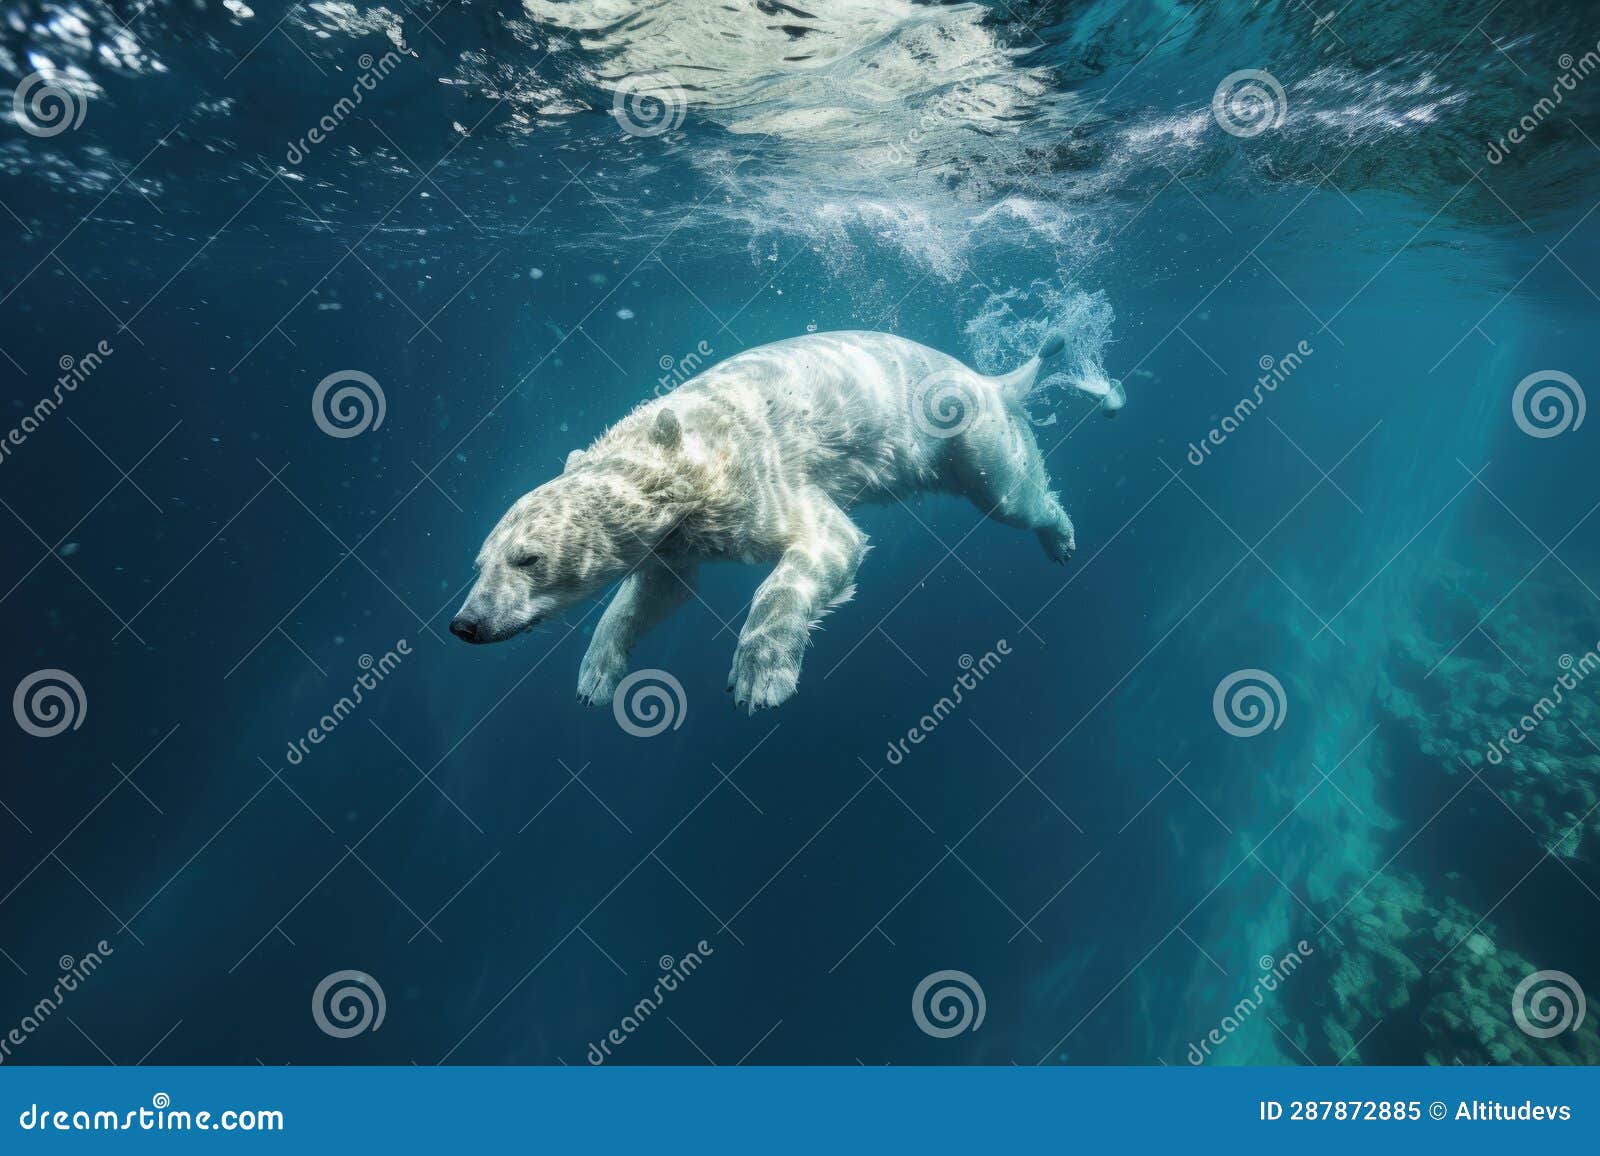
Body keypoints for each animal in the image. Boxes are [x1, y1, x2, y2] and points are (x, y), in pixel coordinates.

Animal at [450, 330, 1125, 712]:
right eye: (479, 562)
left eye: (528, 558)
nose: (466, 624)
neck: (681, 451)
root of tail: (987, 377)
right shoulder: (679, 535)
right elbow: (659, 591)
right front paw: (596, 675)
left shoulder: (759, 476)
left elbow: (826, 546)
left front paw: (758, 679)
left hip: (962, 432)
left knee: (1010, 495)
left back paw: (1061, 535)